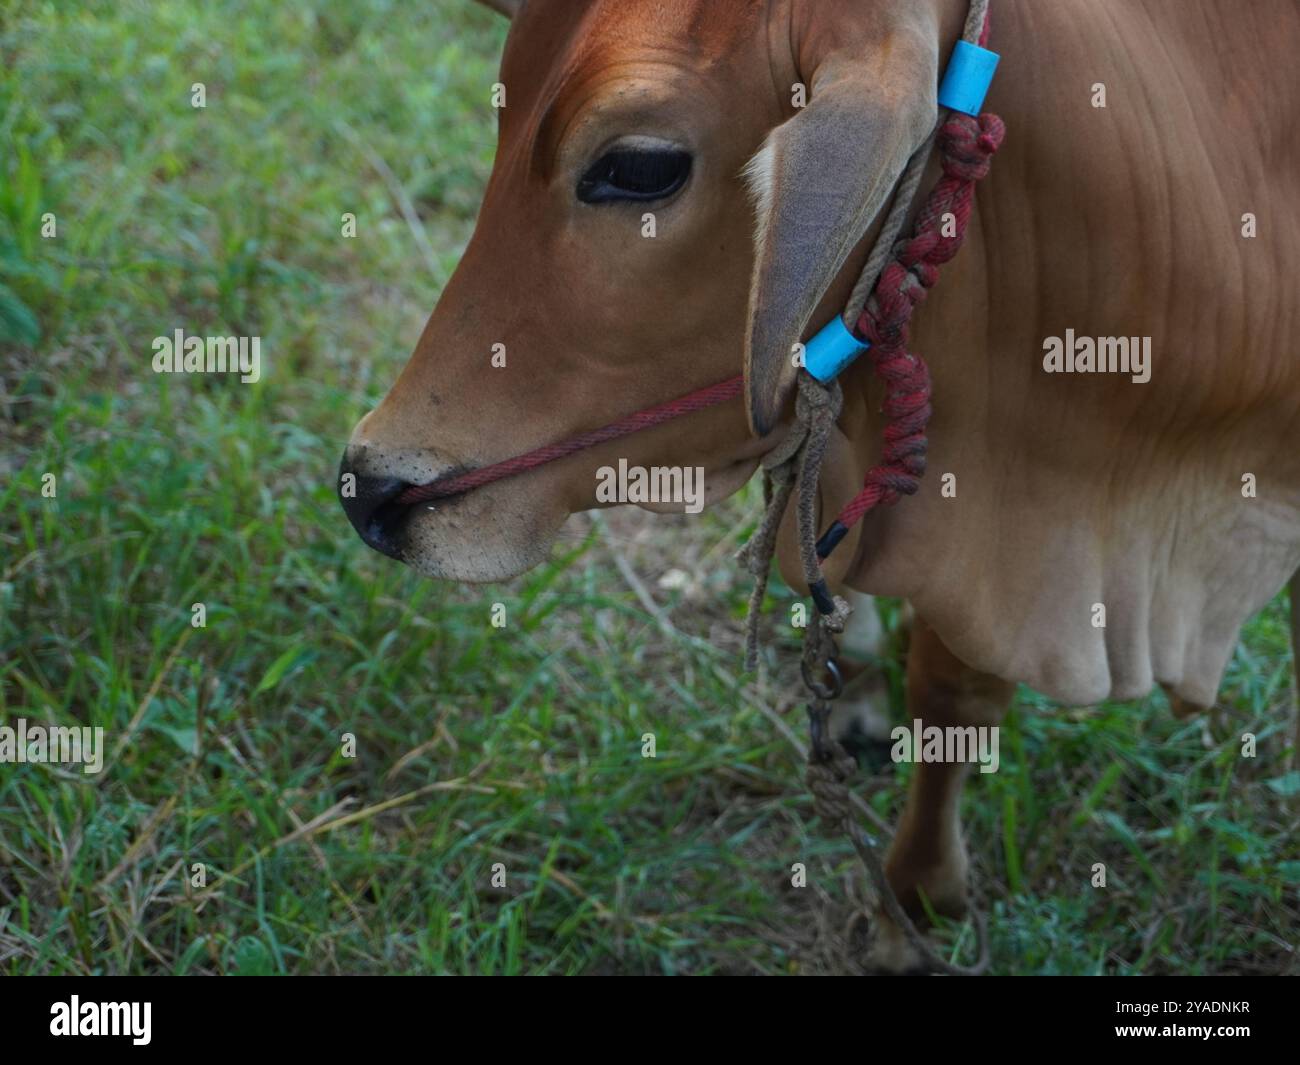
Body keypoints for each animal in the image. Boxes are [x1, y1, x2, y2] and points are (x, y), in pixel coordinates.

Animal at [339, 0, 1300, 971]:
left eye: (639, 168)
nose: (369, 488)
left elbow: (956, 695)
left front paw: (918, 897)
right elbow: (950, 687)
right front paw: (915, 898)